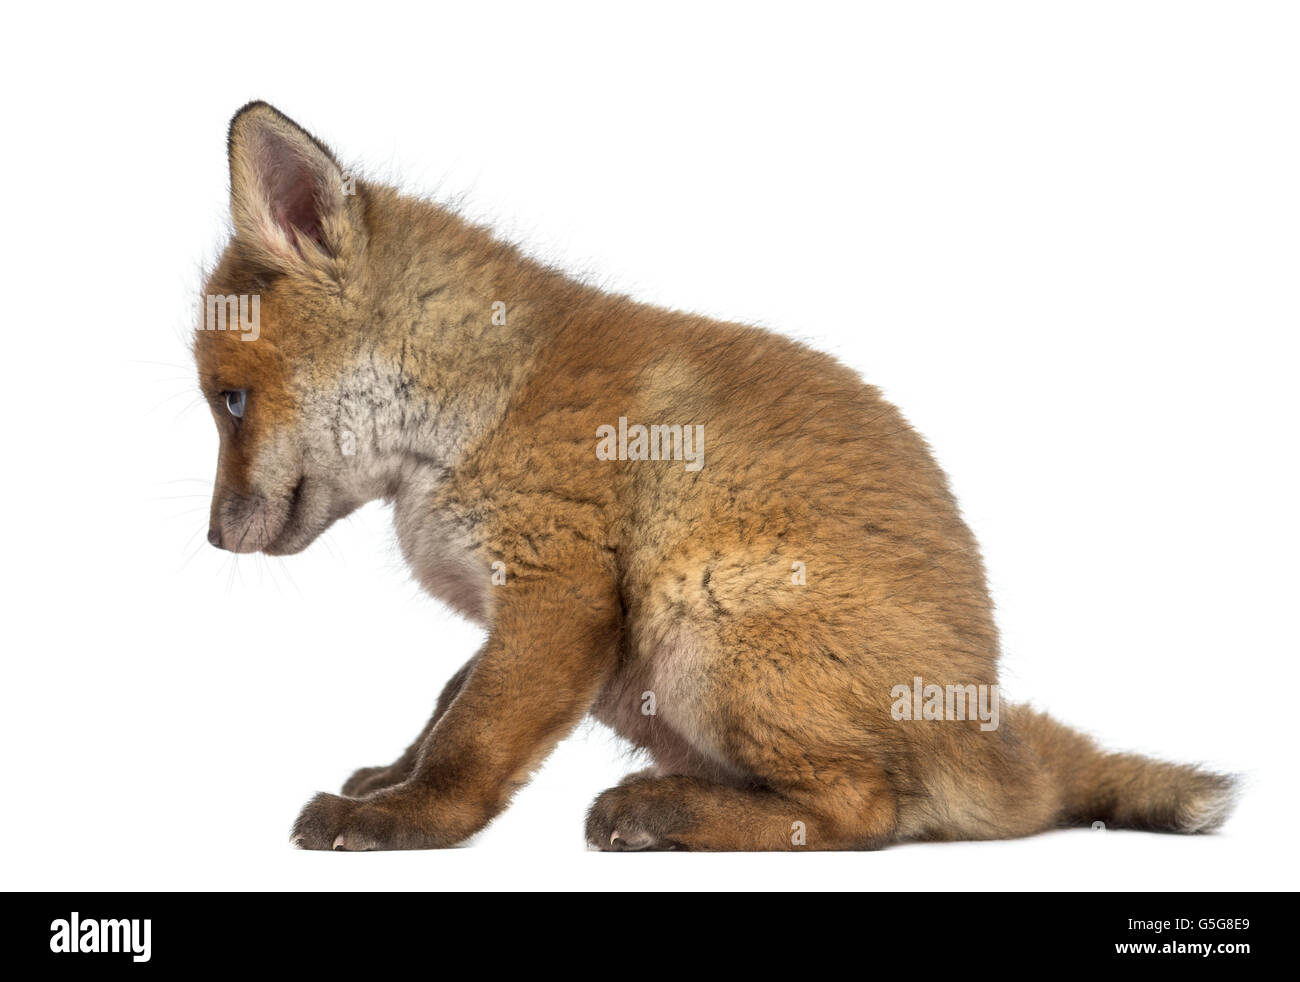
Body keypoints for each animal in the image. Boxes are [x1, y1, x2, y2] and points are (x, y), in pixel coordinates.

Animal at [195, 101, 1237, 851]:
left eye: (230, 402)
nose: (209, 538)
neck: (471, 405)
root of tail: (991, 732)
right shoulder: (525, 616)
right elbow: (446, 705)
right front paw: (389, 777)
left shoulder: (561, 594)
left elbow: (472, 736)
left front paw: (403, 819)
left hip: (704, 621)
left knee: (865, 814)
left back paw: (667, 814)